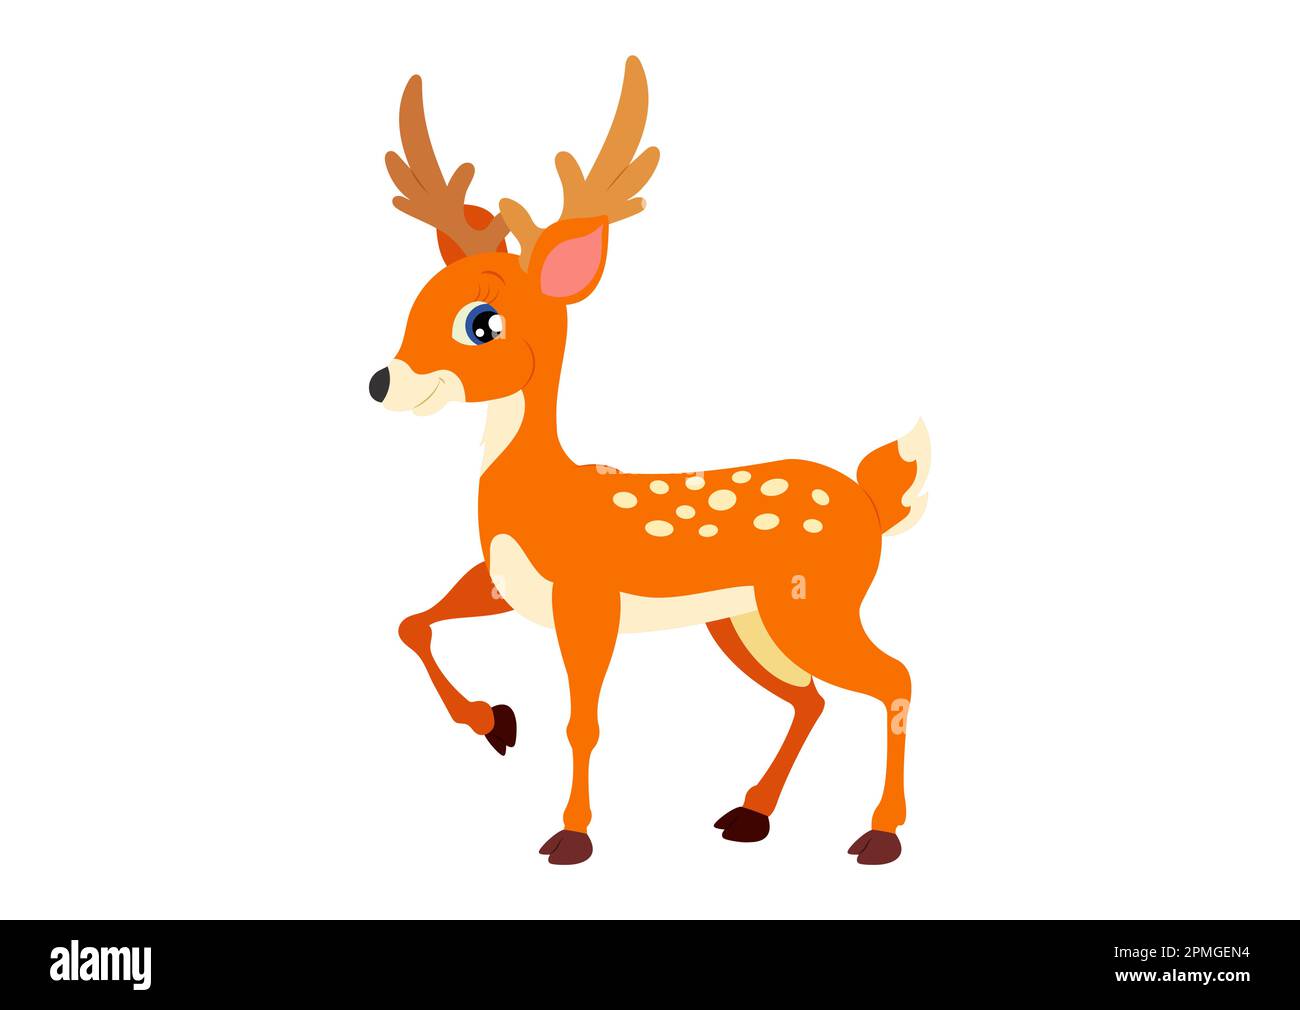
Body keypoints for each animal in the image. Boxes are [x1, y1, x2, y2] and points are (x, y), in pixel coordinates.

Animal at [369, 56, 930, 866]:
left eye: (482, 323)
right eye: (416, 299)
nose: (382, 382)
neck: (543, 492)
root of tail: (873, 504)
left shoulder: (587, 598)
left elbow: (584, 720)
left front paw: (570, 835)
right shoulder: (504, 582)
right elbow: (414, 623)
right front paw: (496, 722)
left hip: (815, 604)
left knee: (893, 676)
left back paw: (879, 834)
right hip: (743, 622)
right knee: (812, 696)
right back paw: (750, 815)